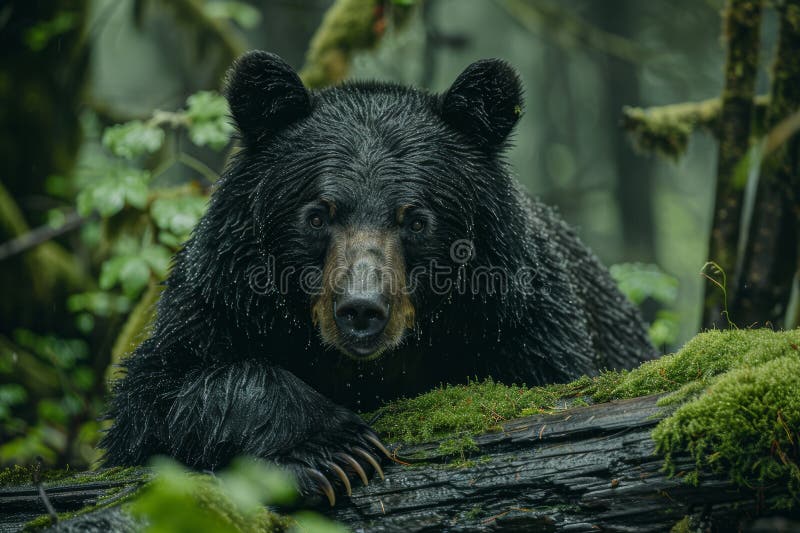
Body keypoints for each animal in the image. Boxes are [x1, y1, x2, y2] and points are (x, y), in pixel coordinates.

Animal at [101, 51, 655, 505]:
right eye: (318, 214)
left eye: (415, 219)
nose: (361, 309)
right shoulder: (222, 298)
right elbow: (158, 394)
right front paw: (335, 451)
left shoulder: (520, 321)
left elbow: (555, 384)